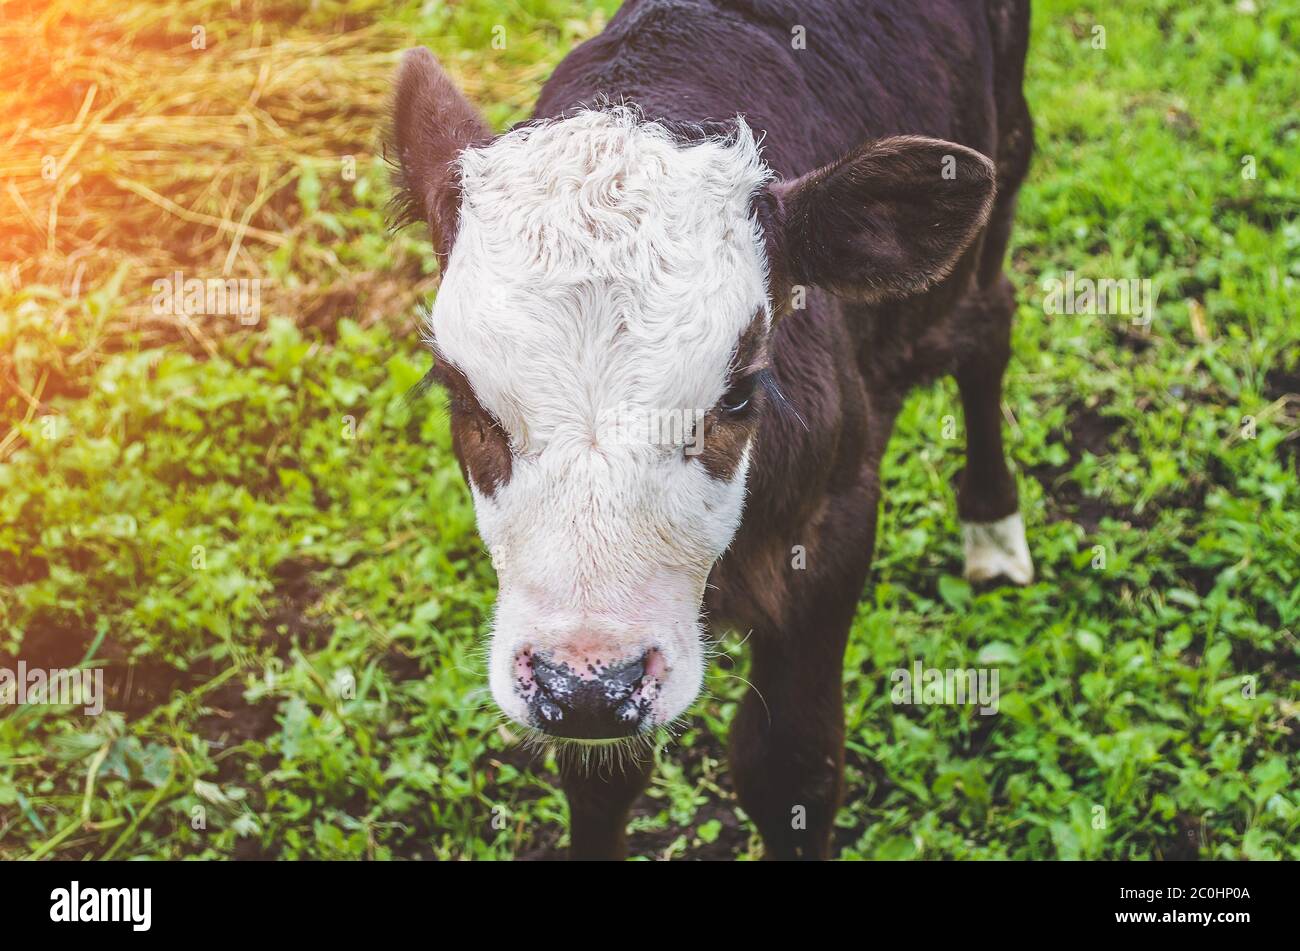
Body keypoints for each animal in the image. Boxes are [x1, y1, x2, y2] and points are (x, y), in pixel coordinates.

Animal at [390, 0, 1034, 859]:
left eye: (737, 395)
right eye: (461, 393)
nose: (589, 686)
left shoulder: (835, 522)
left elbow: (790, 770)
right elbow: (600, 779)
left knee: (989, 322)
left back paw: (993, 523)